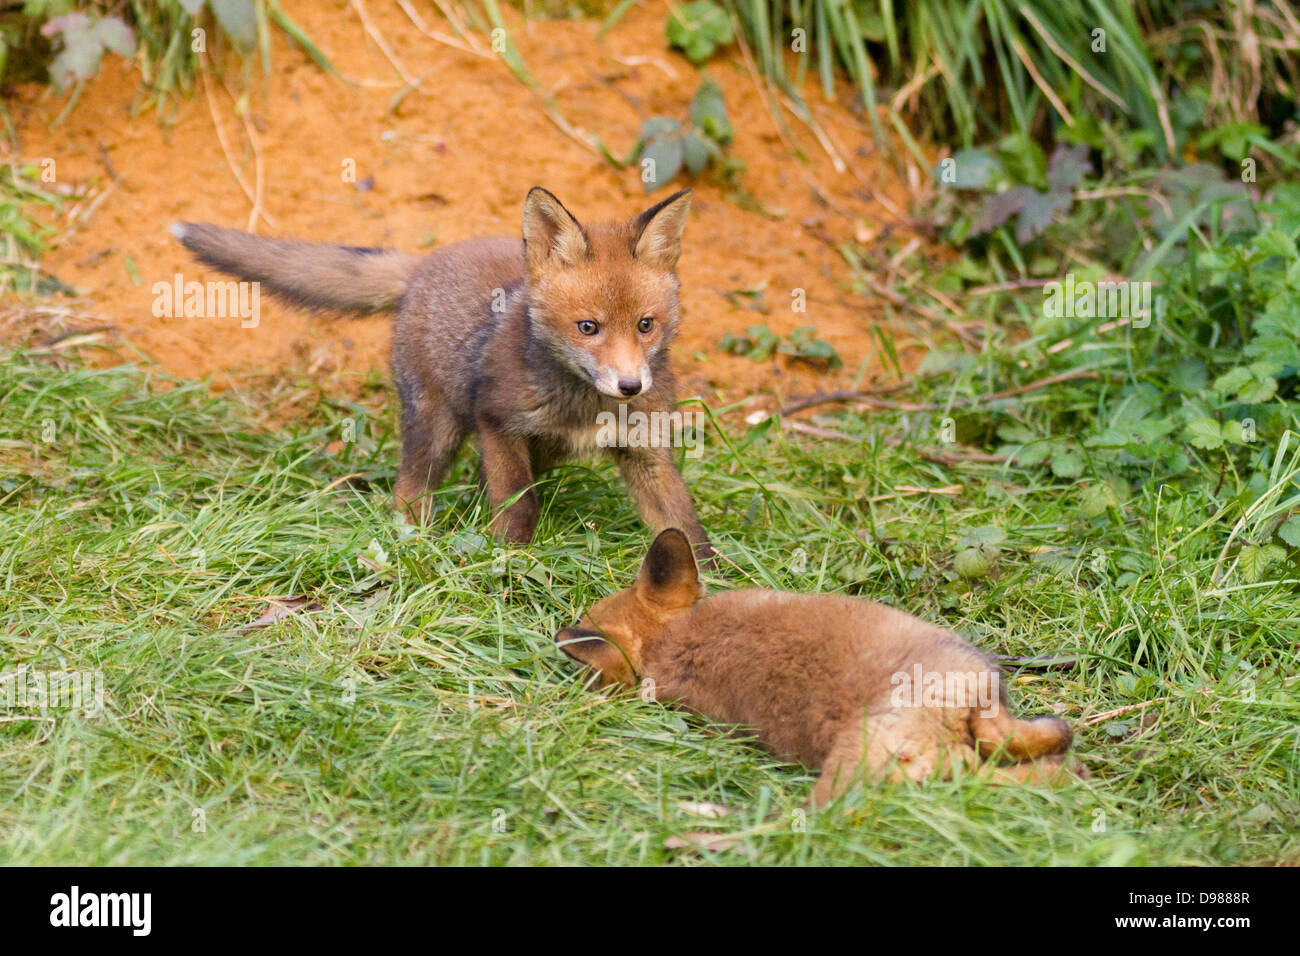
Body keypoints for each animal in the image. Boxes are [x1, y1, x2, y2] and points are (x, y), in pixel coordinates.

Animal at [172, 188, 711, 560]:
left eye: (645, 325)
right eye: (588, 327)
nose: (630, 386)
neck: (585, 406)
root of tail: (424, 265)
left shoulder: (646, 450)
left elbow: (685, 526)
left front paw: (710, 586)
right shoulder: (498, 422)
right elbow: (519, 507)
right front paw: (510, 566)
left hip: (535, 452)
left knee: (477, 485)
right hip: (438, 426)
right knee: (411, 488)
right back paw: (415, 543)